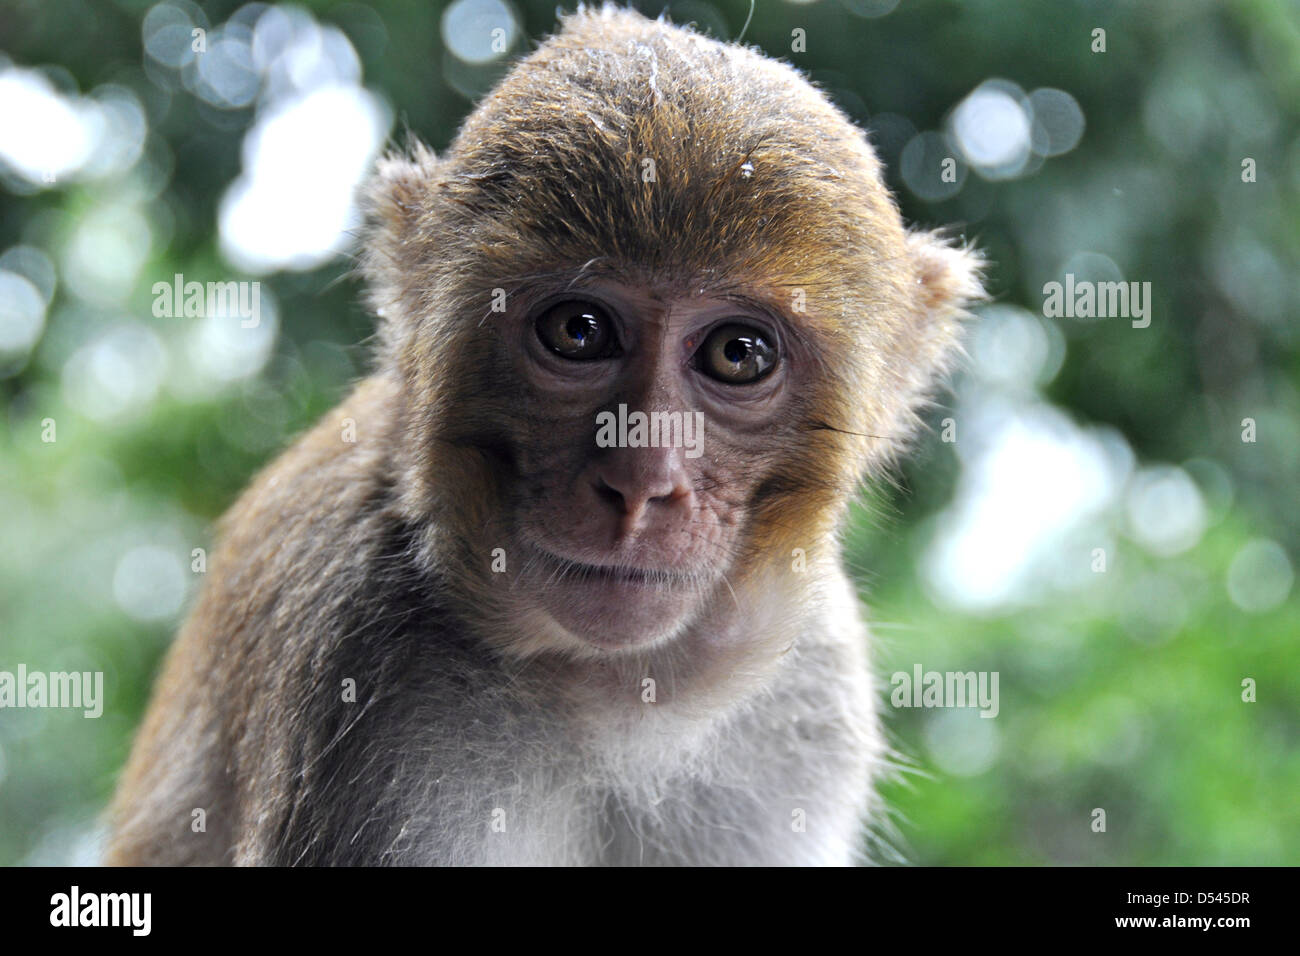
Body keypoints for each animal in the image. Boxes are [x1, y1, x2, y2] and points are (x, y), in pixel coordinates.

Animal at [105, 5, 983, 866]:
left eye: (739, 353)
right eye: (578, 331)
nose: (641, 484)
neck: (618, 695)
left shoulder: (817, 695)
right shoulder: (358, 682)